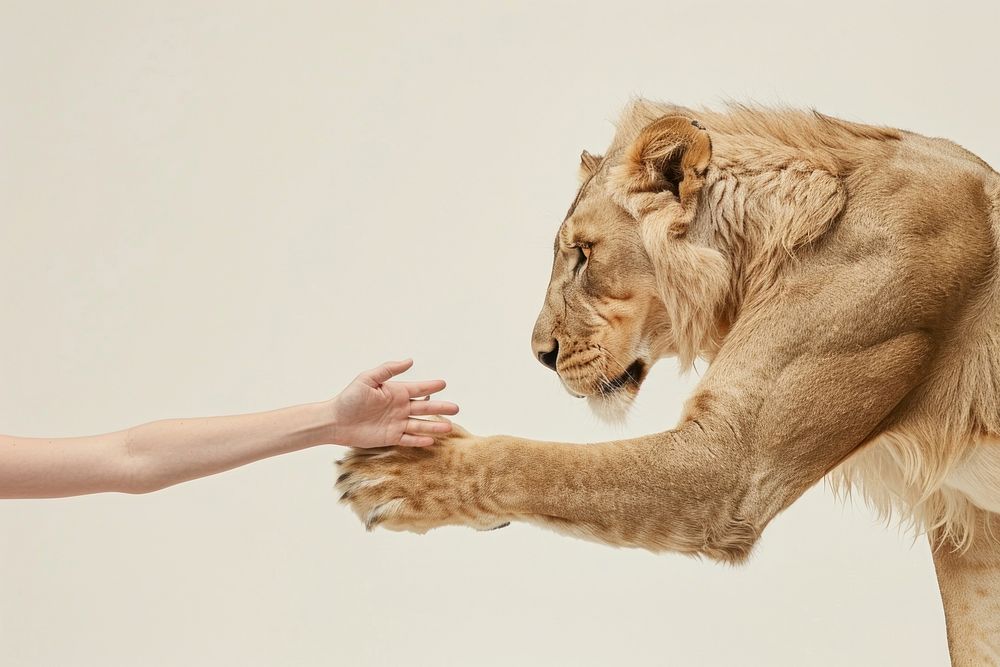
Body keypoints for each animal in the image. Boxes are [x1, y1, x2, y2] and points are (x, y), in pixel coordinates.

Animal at [336, 99, 1000, 665]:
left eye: (583, 254)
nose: (541, 355)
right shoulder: (973, 537)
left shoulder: (731, 465)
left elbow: (545, 466)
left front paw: (405, 472)